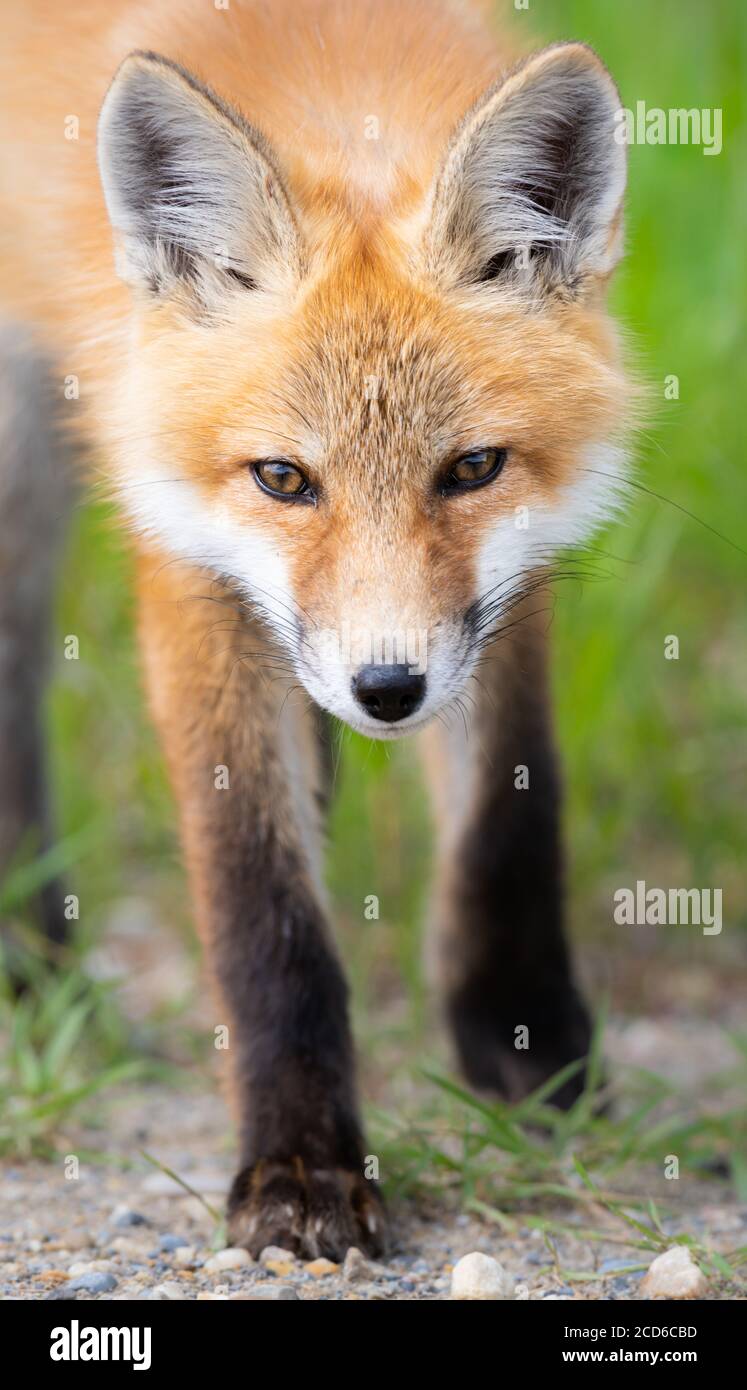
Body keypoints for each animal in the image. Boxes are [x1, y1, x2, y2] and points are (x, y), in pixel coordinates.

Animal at [0, 0, 632, 1258]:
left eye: (471, 469)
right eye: (283, 479)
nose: (387, 689)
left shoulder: (501, 591)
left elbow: (506, 819)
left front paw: (527, 1049)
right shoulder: (188, 559)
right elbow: (263, 906)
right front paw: (300, 1165)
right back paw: (31, 972)